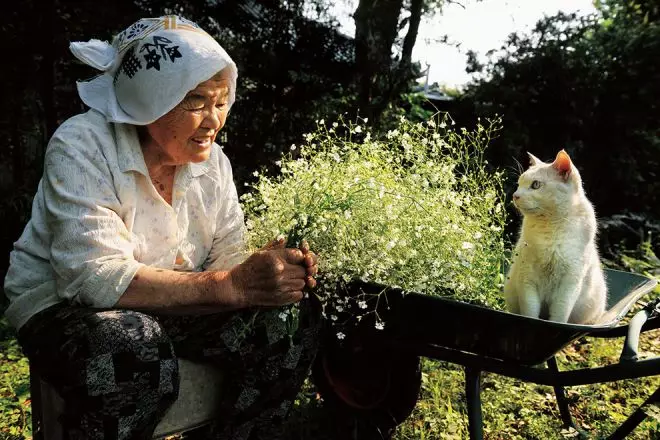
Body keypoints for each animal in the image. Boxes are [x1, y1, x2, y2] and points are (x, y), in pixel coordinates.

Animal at [506, 150, 608, 324]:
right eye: (519, 184)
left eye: (535, 185)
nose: (515, 195)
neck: (550, 227)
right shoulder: (527, 278)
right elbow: (530, 312)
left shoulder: (570, 282)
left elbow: (560, 314)